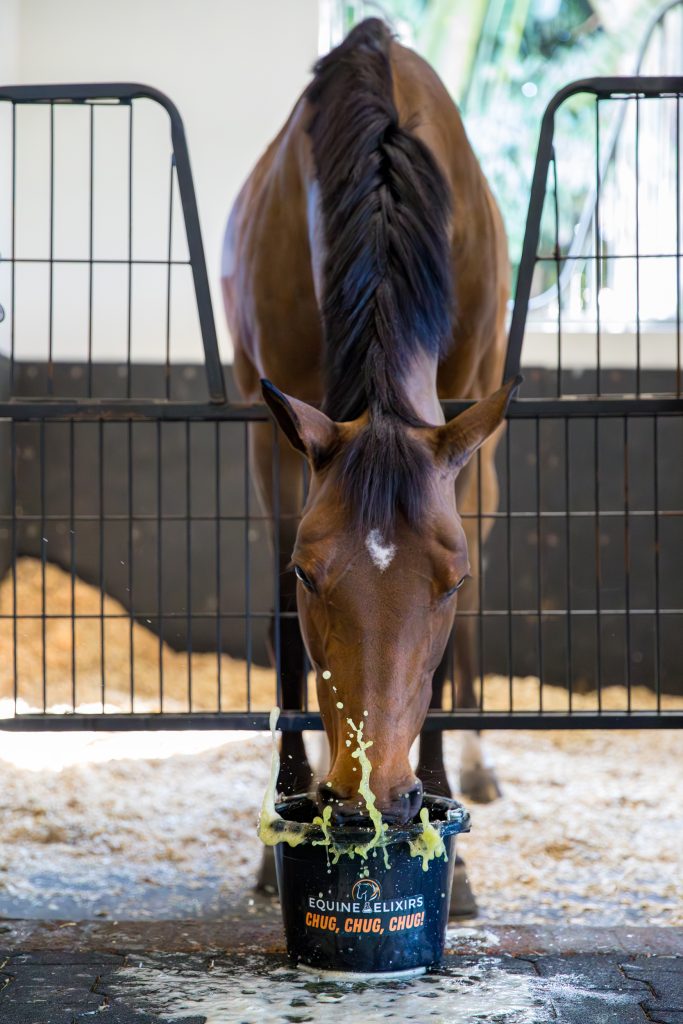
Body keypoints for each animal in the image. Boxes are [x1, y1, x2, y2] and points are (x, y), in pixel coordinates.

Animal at [222, 19, 517, 914]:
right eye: (308, 573)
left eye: (448, 581)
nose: (372, 798)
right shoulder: (274, 436)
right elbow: (284, 635)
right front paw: (287, 817)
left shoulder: (461, 423)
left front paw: (449, 846)